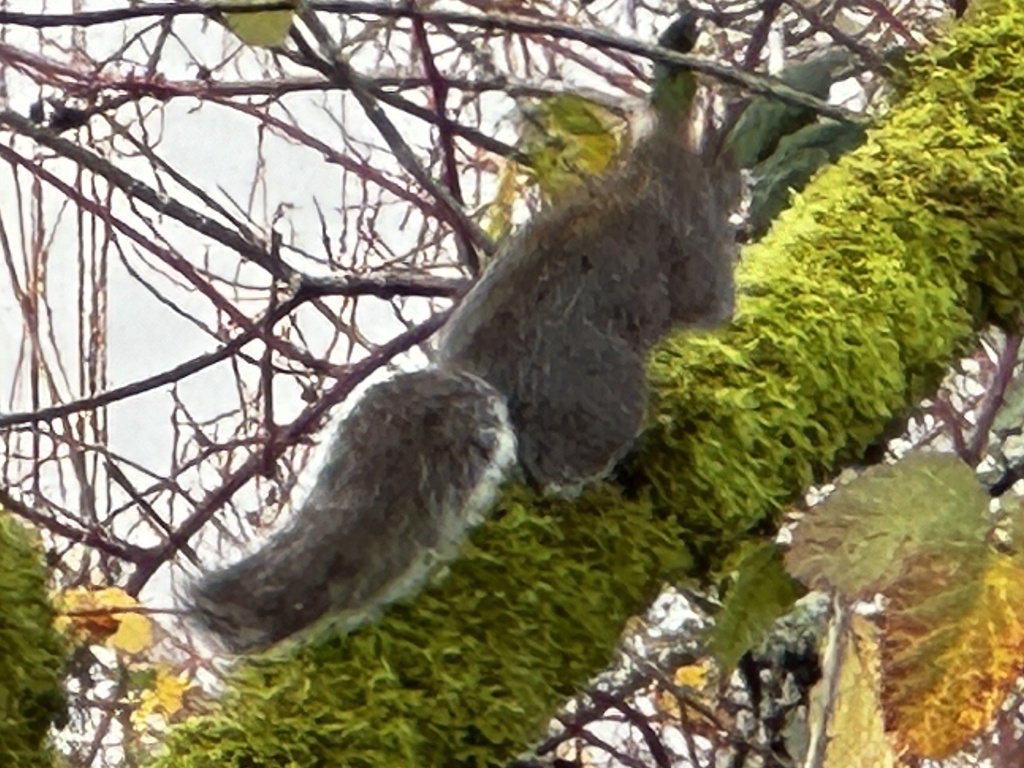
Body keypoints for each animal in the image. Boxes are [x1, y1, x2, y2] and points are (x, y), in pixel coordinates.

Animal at [190, 15, 740, 654]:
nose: (744, 176)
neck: (652, 162)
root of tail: (484, 379)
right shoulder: (694, 253)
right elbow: (712, 307)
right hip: (597, 405)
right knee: (565, 473)